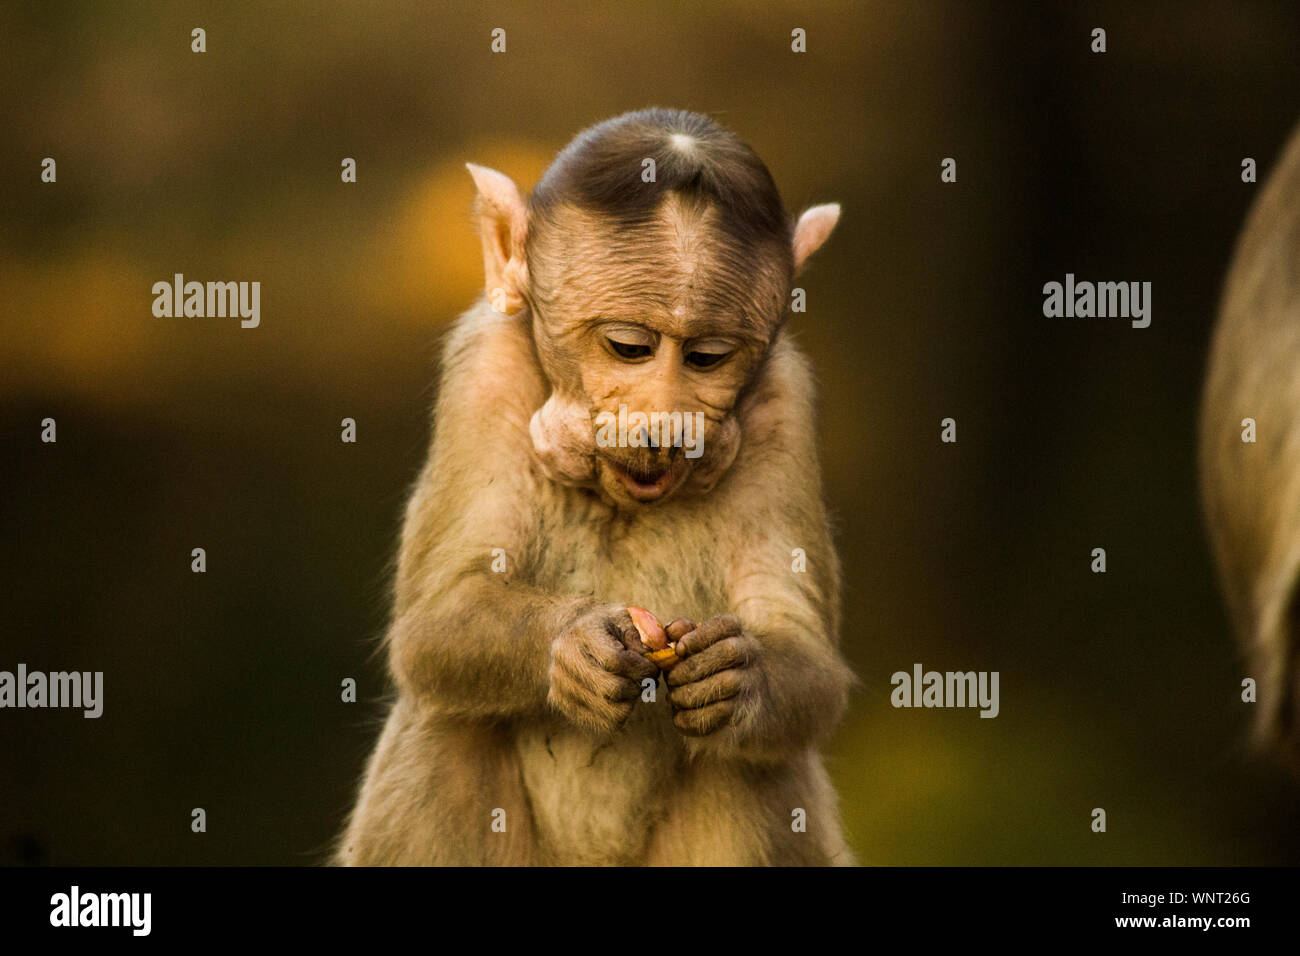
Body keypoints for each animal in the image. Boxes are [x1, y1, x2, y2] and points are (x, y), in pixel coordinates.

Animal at [336, 108, 854, 865]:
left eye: (707, 358)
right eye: (628, 347)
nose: (664, 425)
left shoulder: (785, 400)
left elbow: (806, 654)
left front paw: (740, 676)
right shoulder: (485, 368)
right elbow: (438, 617)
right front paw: (572, 643)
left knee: (748, 761)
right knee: (448, 724)